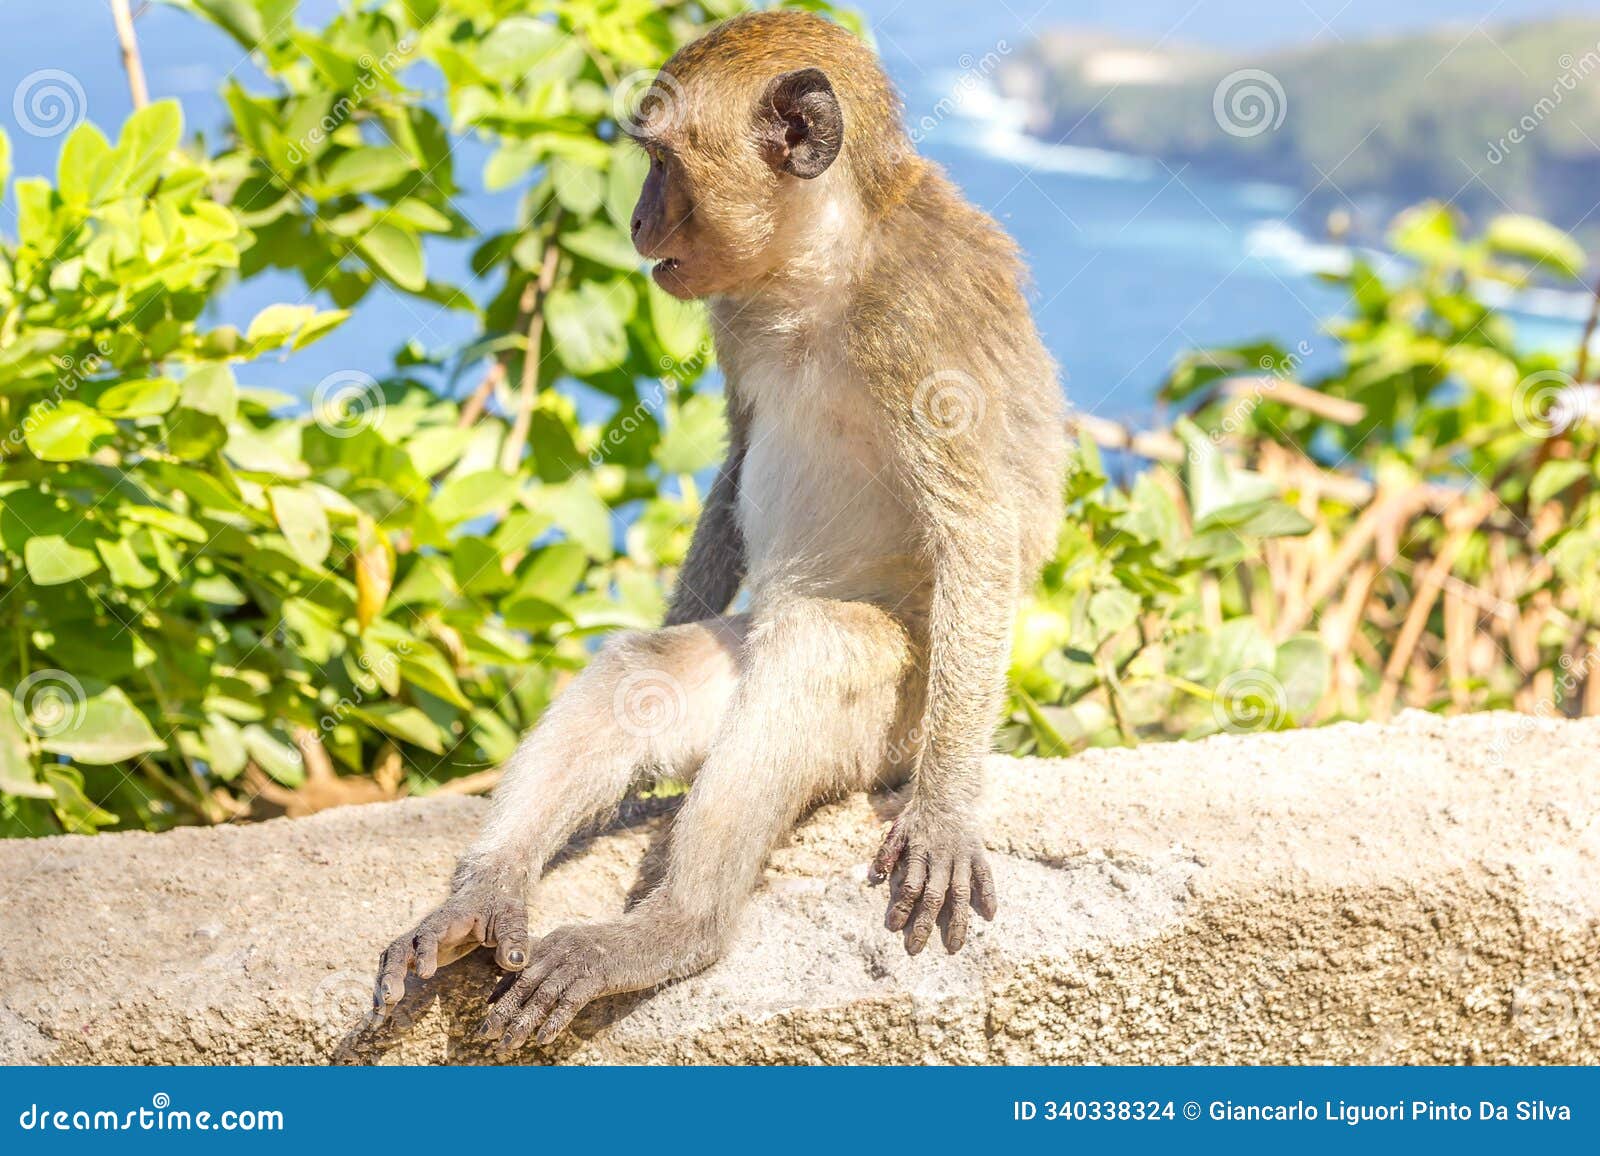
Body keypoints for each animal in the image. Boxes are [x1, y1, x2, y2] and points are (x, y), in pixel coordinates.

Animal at [373, 9, 1066, 1051]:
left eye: (662, 162)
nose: (635, 221)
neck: (823, 268)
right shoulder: (736, 315)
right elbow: (738, 464)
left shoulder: (917, 322)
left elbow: (977, 531)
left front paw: (946, 812)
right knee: (650, 671)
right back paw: (484, 896)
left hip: (898, 724)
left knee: (823, 648)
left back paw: (672, 930)